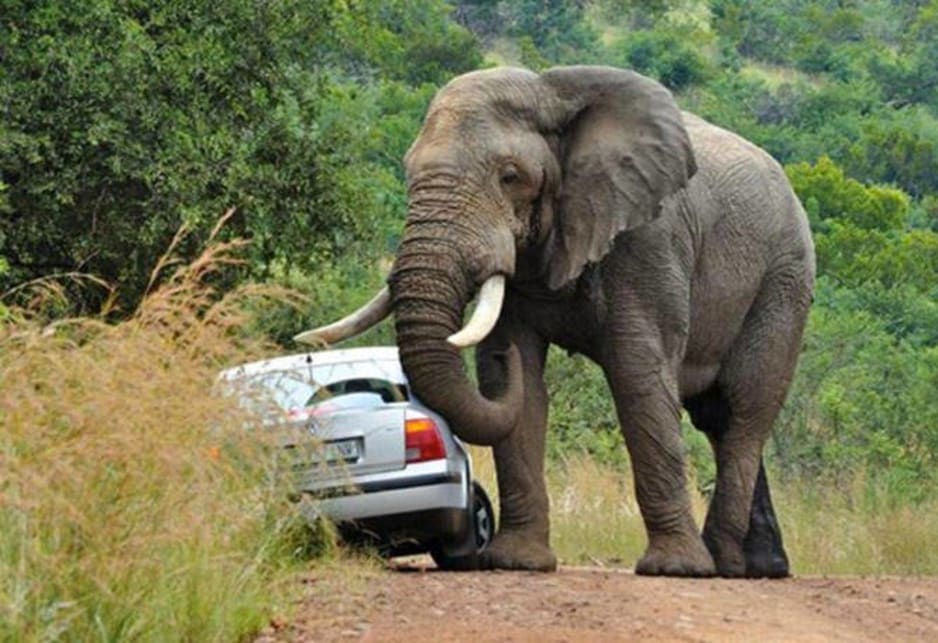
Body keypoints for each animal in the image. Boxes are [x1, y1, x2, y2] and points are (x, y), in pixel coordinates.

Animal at [296, 65, 815, 578]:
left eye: (510, 176)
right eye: (408, 172)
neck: (551, 92)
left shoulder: (649, 239)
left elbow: (638, 375)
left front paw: (675, 569)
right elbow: (517, 382)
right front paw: (517, 562)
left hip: (784, 279)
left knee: (746, 406)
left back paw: (722, 562)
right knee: (716, 416)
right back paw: (760, 567)